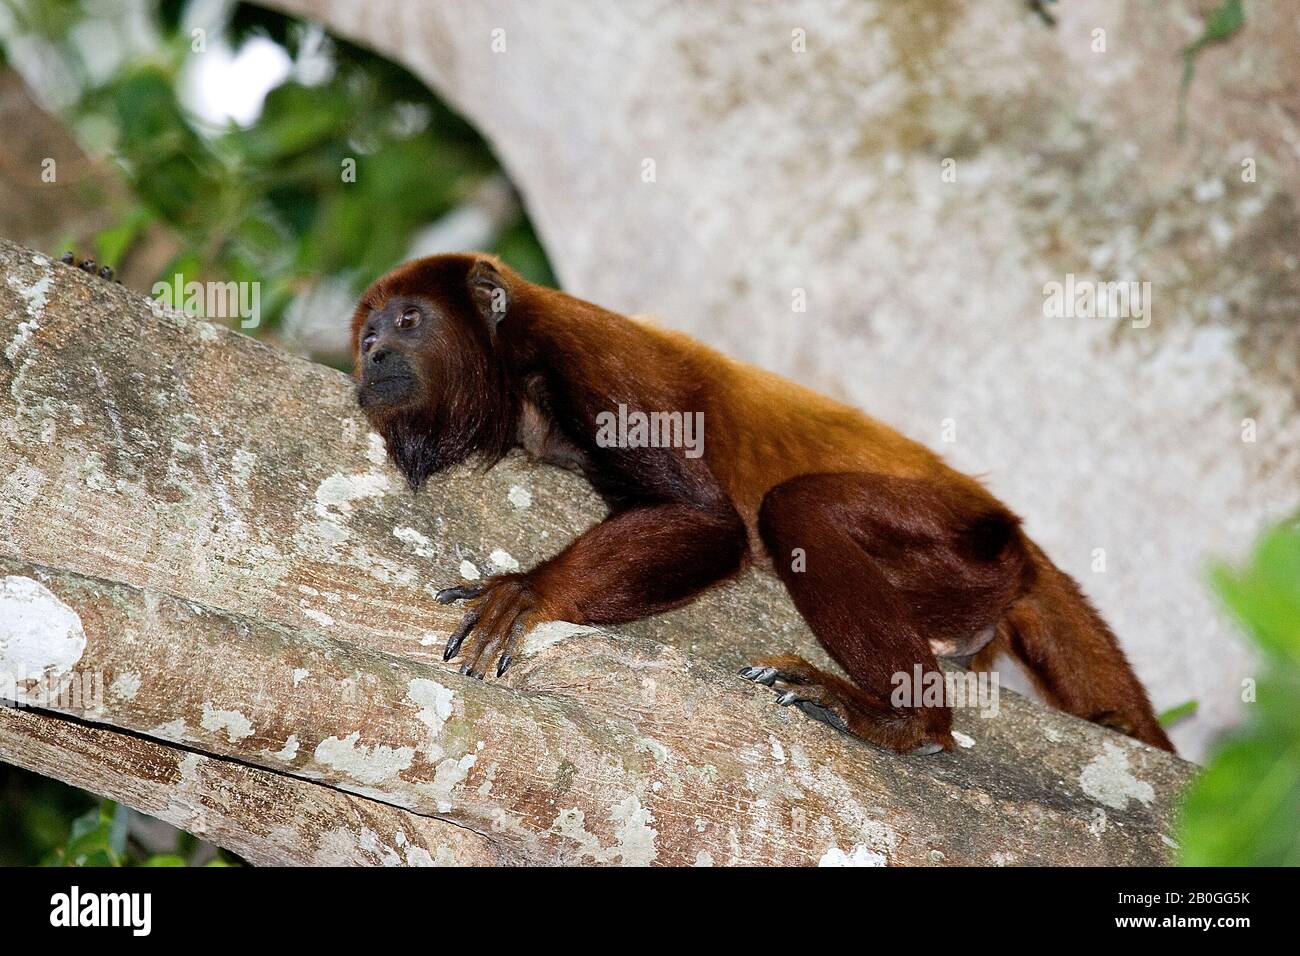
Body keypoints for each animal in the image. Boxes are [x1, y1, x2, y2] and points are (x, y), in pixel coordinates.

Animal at [351, 253, 1174, 756]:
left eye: (409, 321)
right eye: (366, 336)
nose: (373, 356)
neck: (508, 365)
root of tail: (1021, 540)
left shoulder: (581, 349)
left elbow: (709, 521)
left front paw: (529, 591)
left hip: (963, 540)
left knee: (795, 510)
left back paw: (905, 719)